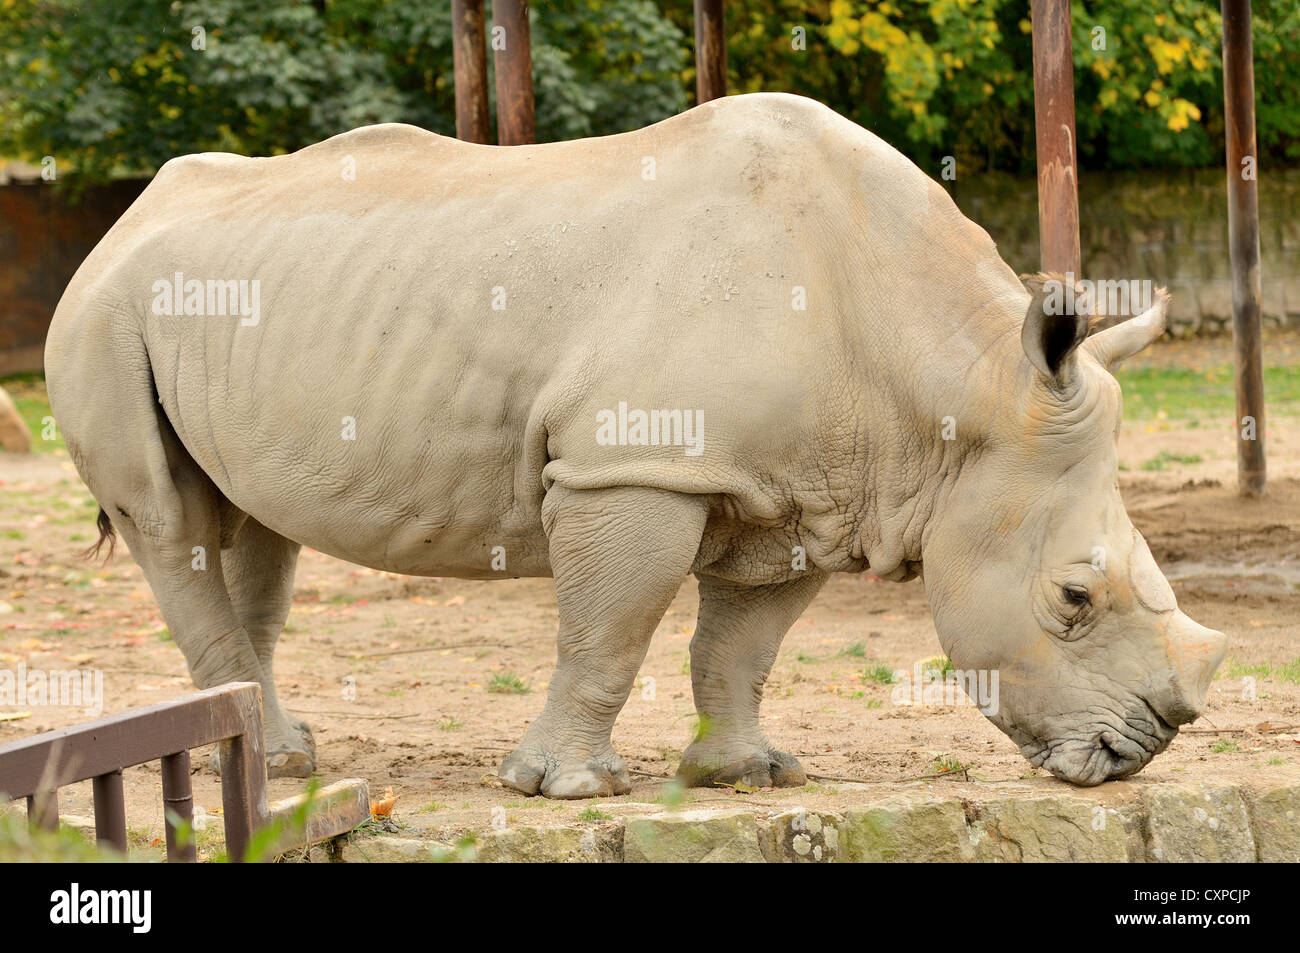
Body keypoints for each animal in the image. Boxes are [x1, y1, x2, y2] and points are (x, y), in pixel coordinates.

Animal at [45, 92, 1225, 796]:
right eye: (1073, 598)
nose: (1135, 754)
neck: (955, 388)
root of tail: (125, 215)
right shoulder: (635, 468)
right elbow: (608, 630)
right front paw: (568, 789)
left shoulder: (810, 489)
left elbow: (741, 643)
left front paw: (747, 775)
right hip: (101, 310)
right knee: (171, 523)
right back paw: (243, 763)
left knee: (253, 531)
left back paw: (280, 761)